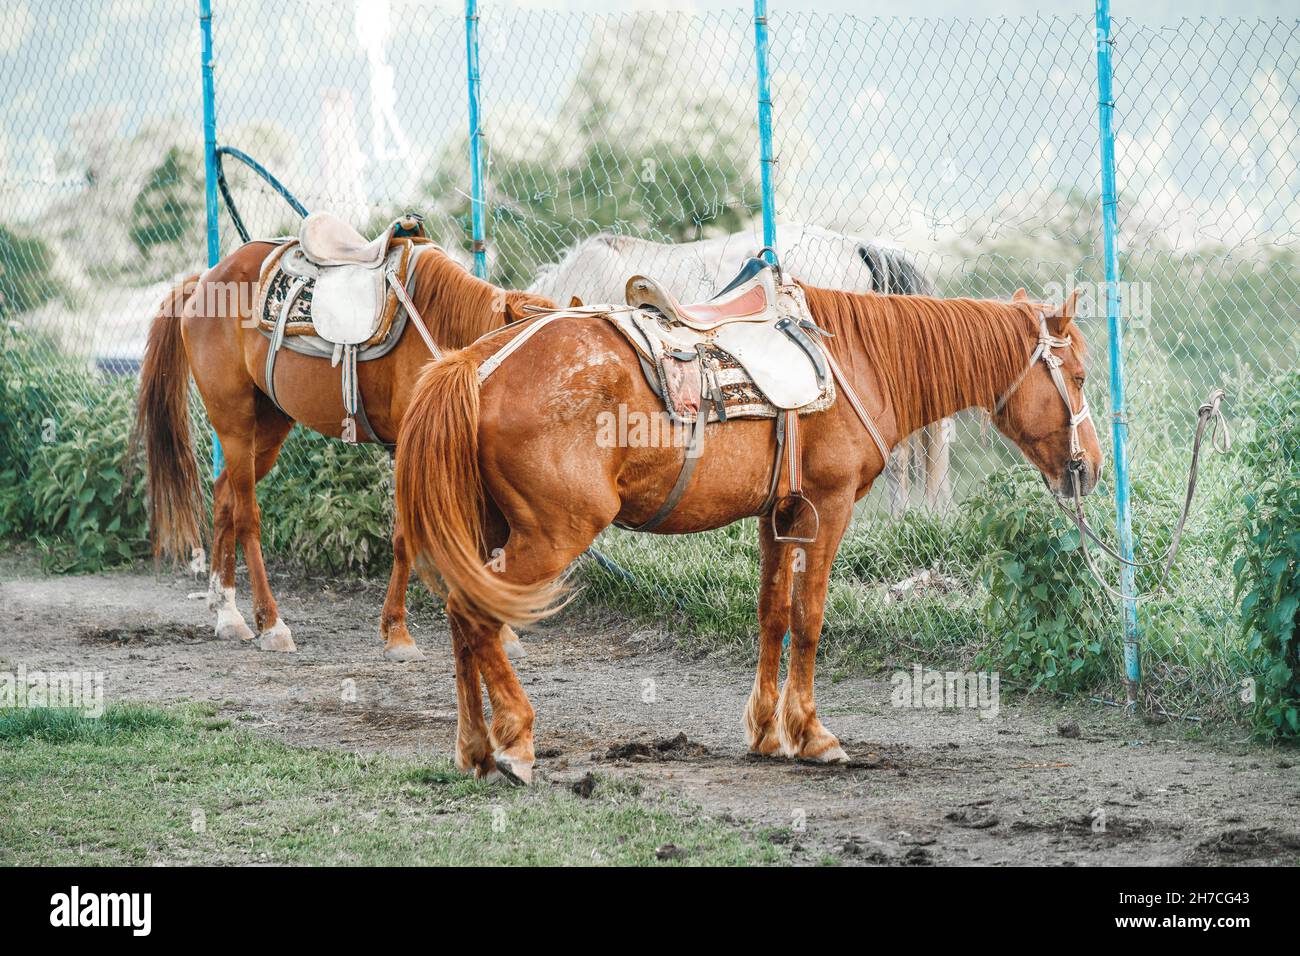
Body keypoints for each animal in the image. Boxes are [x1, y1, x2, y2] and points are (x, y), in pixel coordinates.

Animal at [133, 240, 553, 659]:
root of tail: (205, 279)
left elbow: (485, 540)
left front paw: (501, 632)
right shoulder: (409, 448)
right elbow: (406, 539)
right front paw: (397, 632)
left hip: (268, 426)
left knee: (223, 498)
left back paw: (227, 612)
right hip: (233, 421)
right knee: (246, 516)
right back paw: (271, 623)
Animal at [394, 284, 1101, 783]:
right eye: (1079, 377)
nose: (1091, 467)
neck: (857, 361)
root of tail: (476, 362)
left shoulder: (778, 515)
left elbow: (772, 614)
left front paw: (765, 731)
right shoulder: (826, 508)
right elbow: (810, 618)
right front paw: (813, 736)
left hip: (489, 530)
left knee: (461, 616)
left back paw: (474, 748)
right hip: (550, 535)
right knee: (478, 615)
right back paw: (514, 741)